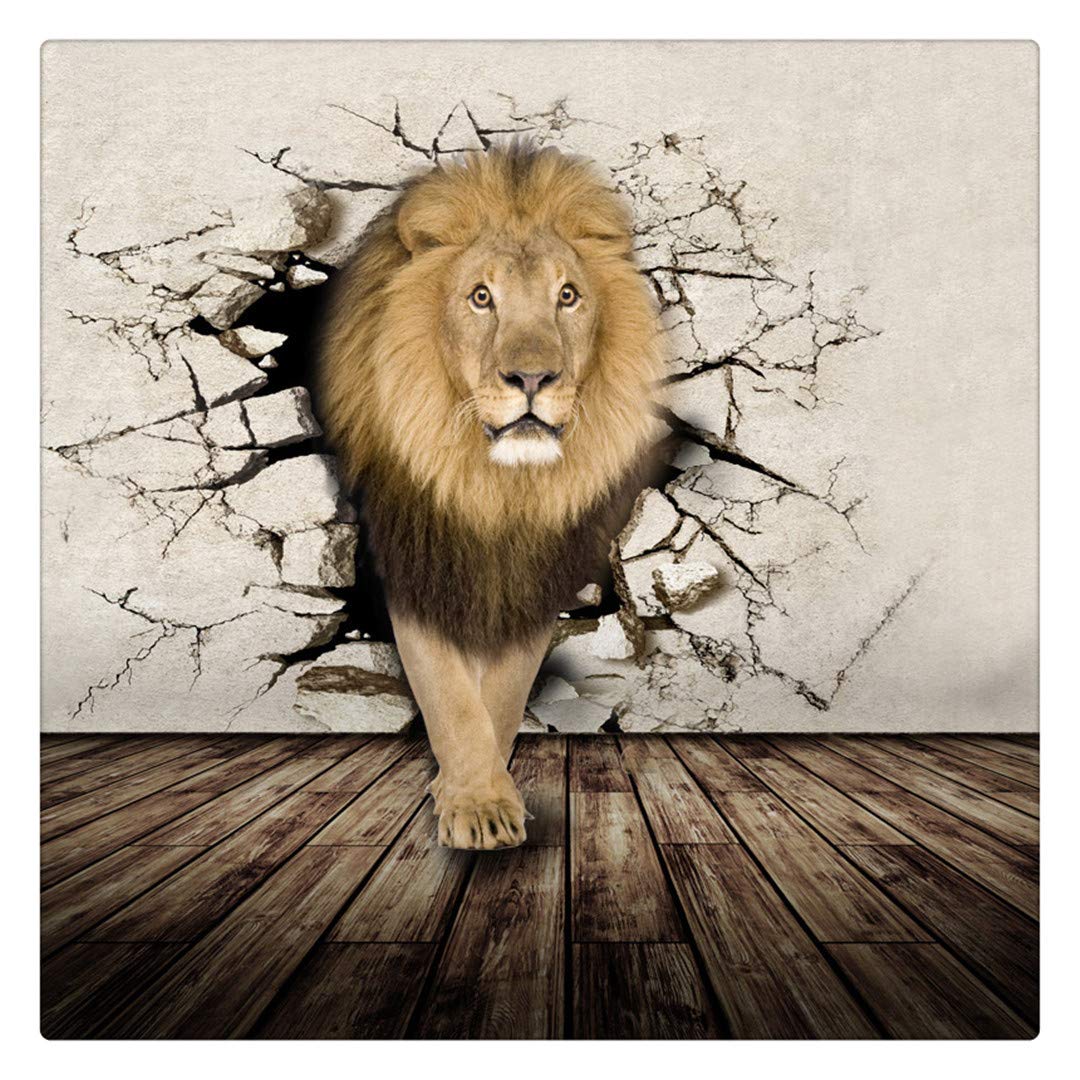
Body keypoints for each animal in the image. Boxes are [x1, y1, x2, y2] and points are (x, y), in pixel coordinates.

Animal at [319, 143, 666, 849]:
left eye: (568, 296)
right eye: (482, 297)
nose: (532, 377)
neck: (496, 489)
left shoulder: (536, 572)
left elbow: (502, 692)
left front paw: (483, 794)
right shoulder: (414, 554)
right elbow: (448, 695)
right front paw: (474, 807)